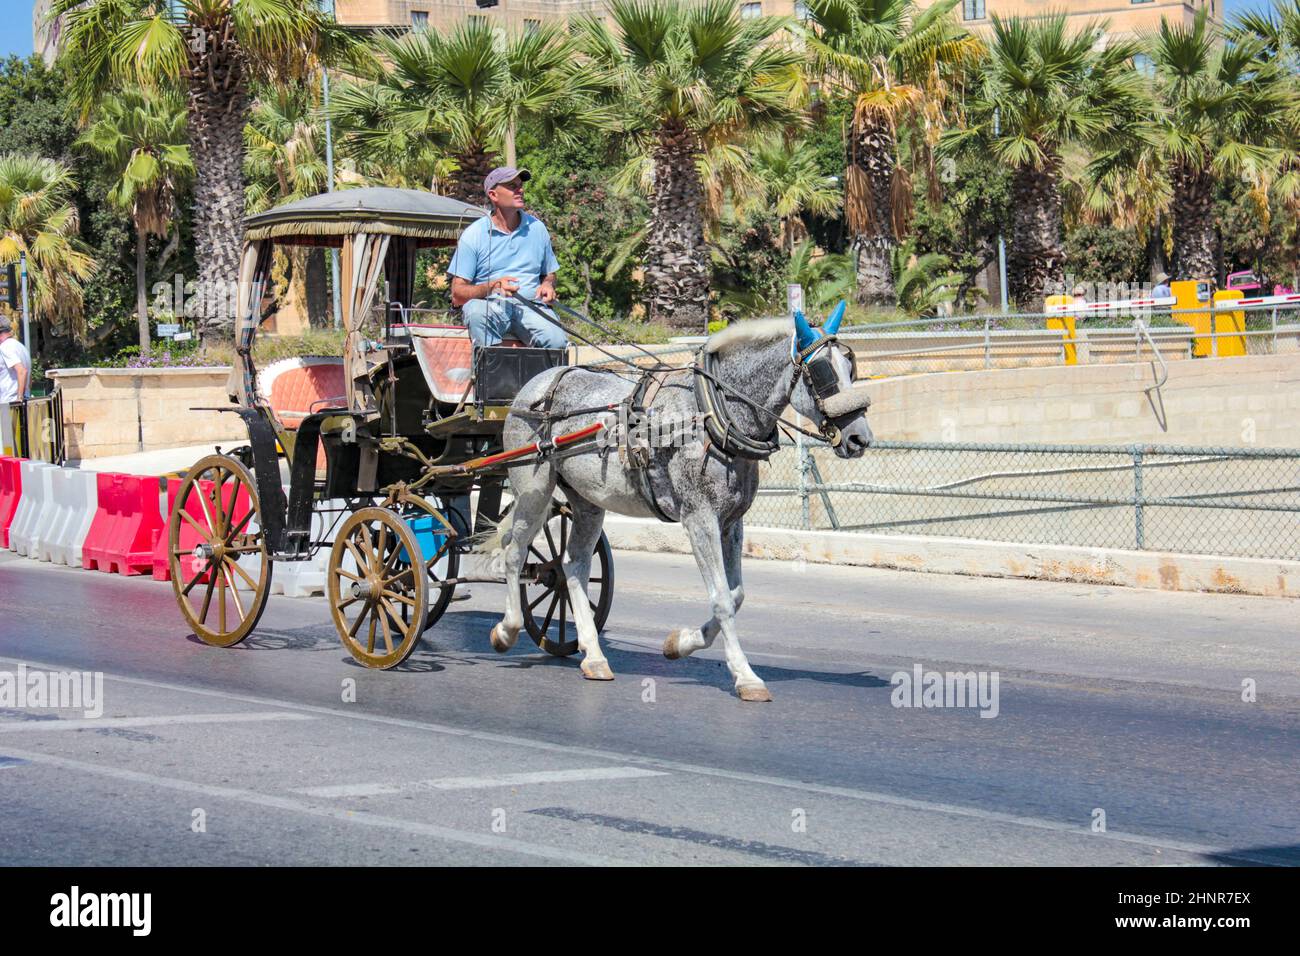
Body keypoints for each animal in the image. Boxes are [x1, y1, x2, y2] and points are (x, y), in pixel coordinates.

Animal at [485, 306, 873, 701]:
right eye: (823, 372)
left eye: (850, 368)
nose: (860, 438)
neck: (713, 413)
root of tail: (536, 384)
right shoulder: (699, 518)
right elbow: (721, 599)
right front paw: (746, 675)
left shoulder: (732, 522)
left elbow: (735, 595)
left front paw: (681, 643)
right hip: (534, 488)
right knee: (514, 553)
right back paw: (507, 629)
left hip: (588, 501)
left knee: (573, 565)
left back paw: (593, 655)